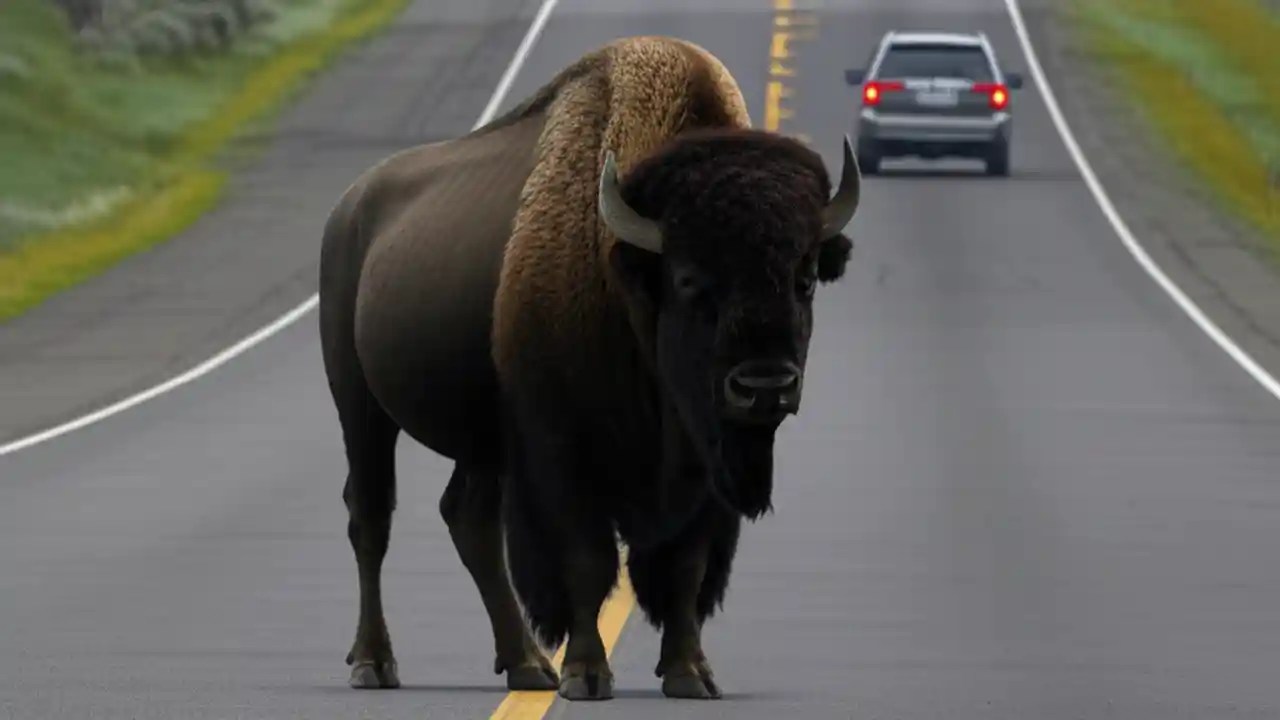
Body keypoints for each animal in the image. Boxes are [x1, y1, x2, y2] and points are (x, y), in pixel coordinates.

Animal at [318, 35, 861, 701]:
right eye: (689, 280)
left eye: (804, 279)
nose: (764, 386)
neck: (630, 274)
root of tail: (349, 211)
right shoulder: (562, 450)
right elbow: (588, 559)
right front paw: (585, 672)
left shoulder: (702, 465)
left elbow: (685, 565)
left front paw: (690, 674)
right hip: (360, 406)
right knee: (370, 519)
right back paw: (375, 663)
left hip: (484, 443)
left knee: (468, 519)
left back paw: (527, 664)